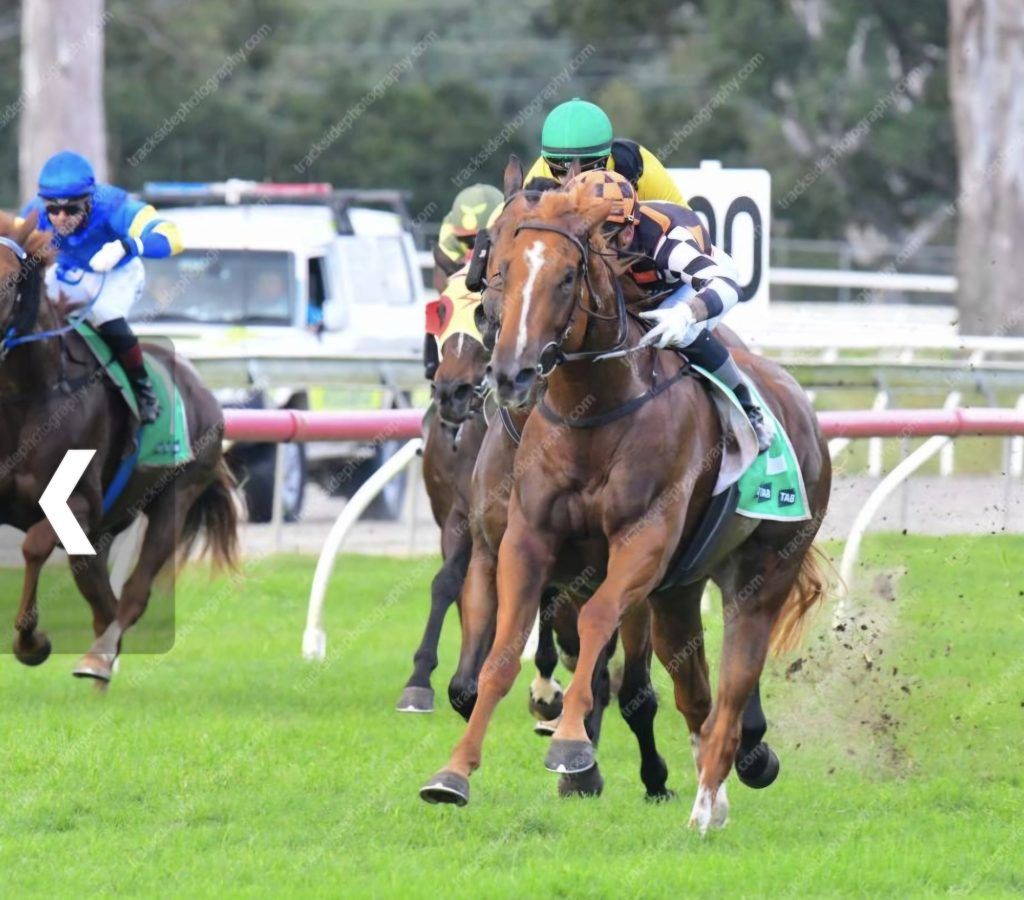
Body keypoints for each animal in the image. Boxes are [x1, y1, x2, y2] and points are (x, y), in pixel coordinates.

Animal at [0, 211, 240, 683]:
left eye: (9, 280)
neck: (27, 396)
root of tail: (200, 385)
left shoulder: (78, 504)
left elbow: (34, 545)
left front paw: (31, 643)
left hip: (175, 495)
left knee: (132, 594)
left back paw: (98, 659)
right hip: (105, 529)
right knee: (101, 599)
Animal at [421, 165, 830, 832]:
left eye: (567, 276)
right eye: (497, 272)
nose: (508, 375)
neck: (593, 411)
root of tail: (798, 402)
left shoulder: (640, 544)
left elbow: (597, 630)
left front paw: (572, 746)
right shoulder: (518, 541)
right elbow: (498, 656)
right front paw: (454, 772)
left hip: (764, 569)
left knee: (731, 681)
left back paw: (720, 779)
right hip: (680, 590)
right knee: (695, 689)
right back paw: (713, 788)